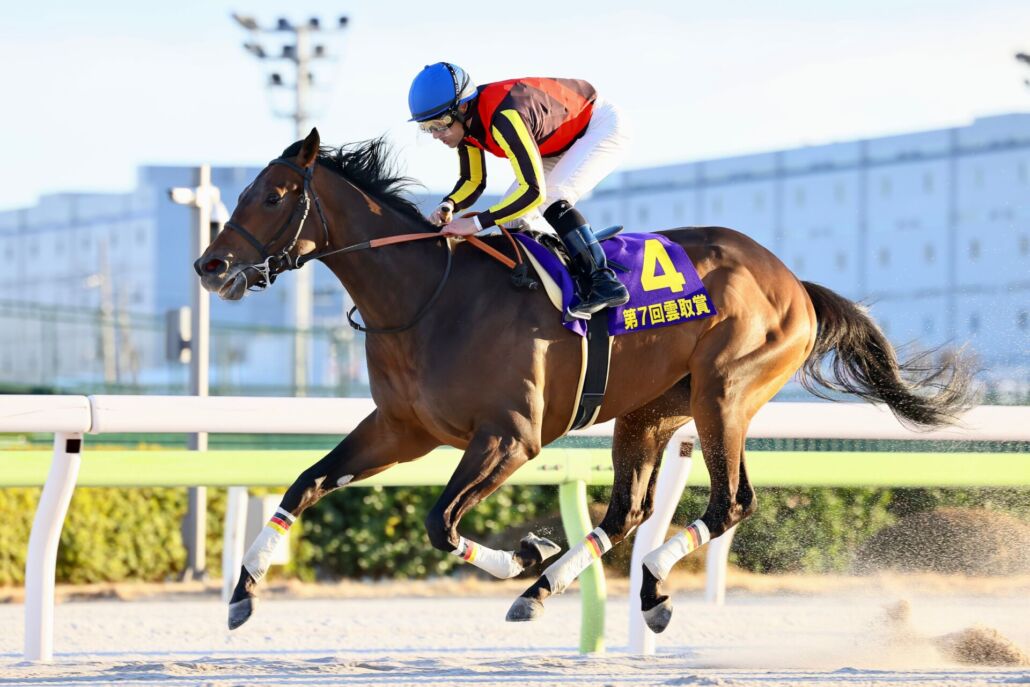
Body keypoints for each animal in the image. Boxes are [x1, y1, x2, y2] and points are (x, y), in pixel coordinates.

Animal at [195, 128, 975, 633]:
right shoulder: (402, 429)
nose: (210, 265)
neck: (431, 296)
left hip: (723, 392)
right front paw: (242, 590)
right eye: (245, 190)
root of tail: (793, 282)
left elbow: (439, 522)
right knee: (627, 511)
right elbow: (306, 482)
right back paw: (586, 588)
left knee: (730, 501)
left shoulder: (509, 438)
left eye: (275, 194)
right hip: (651, 411)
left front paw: (523, 553)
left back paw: (624, 577)